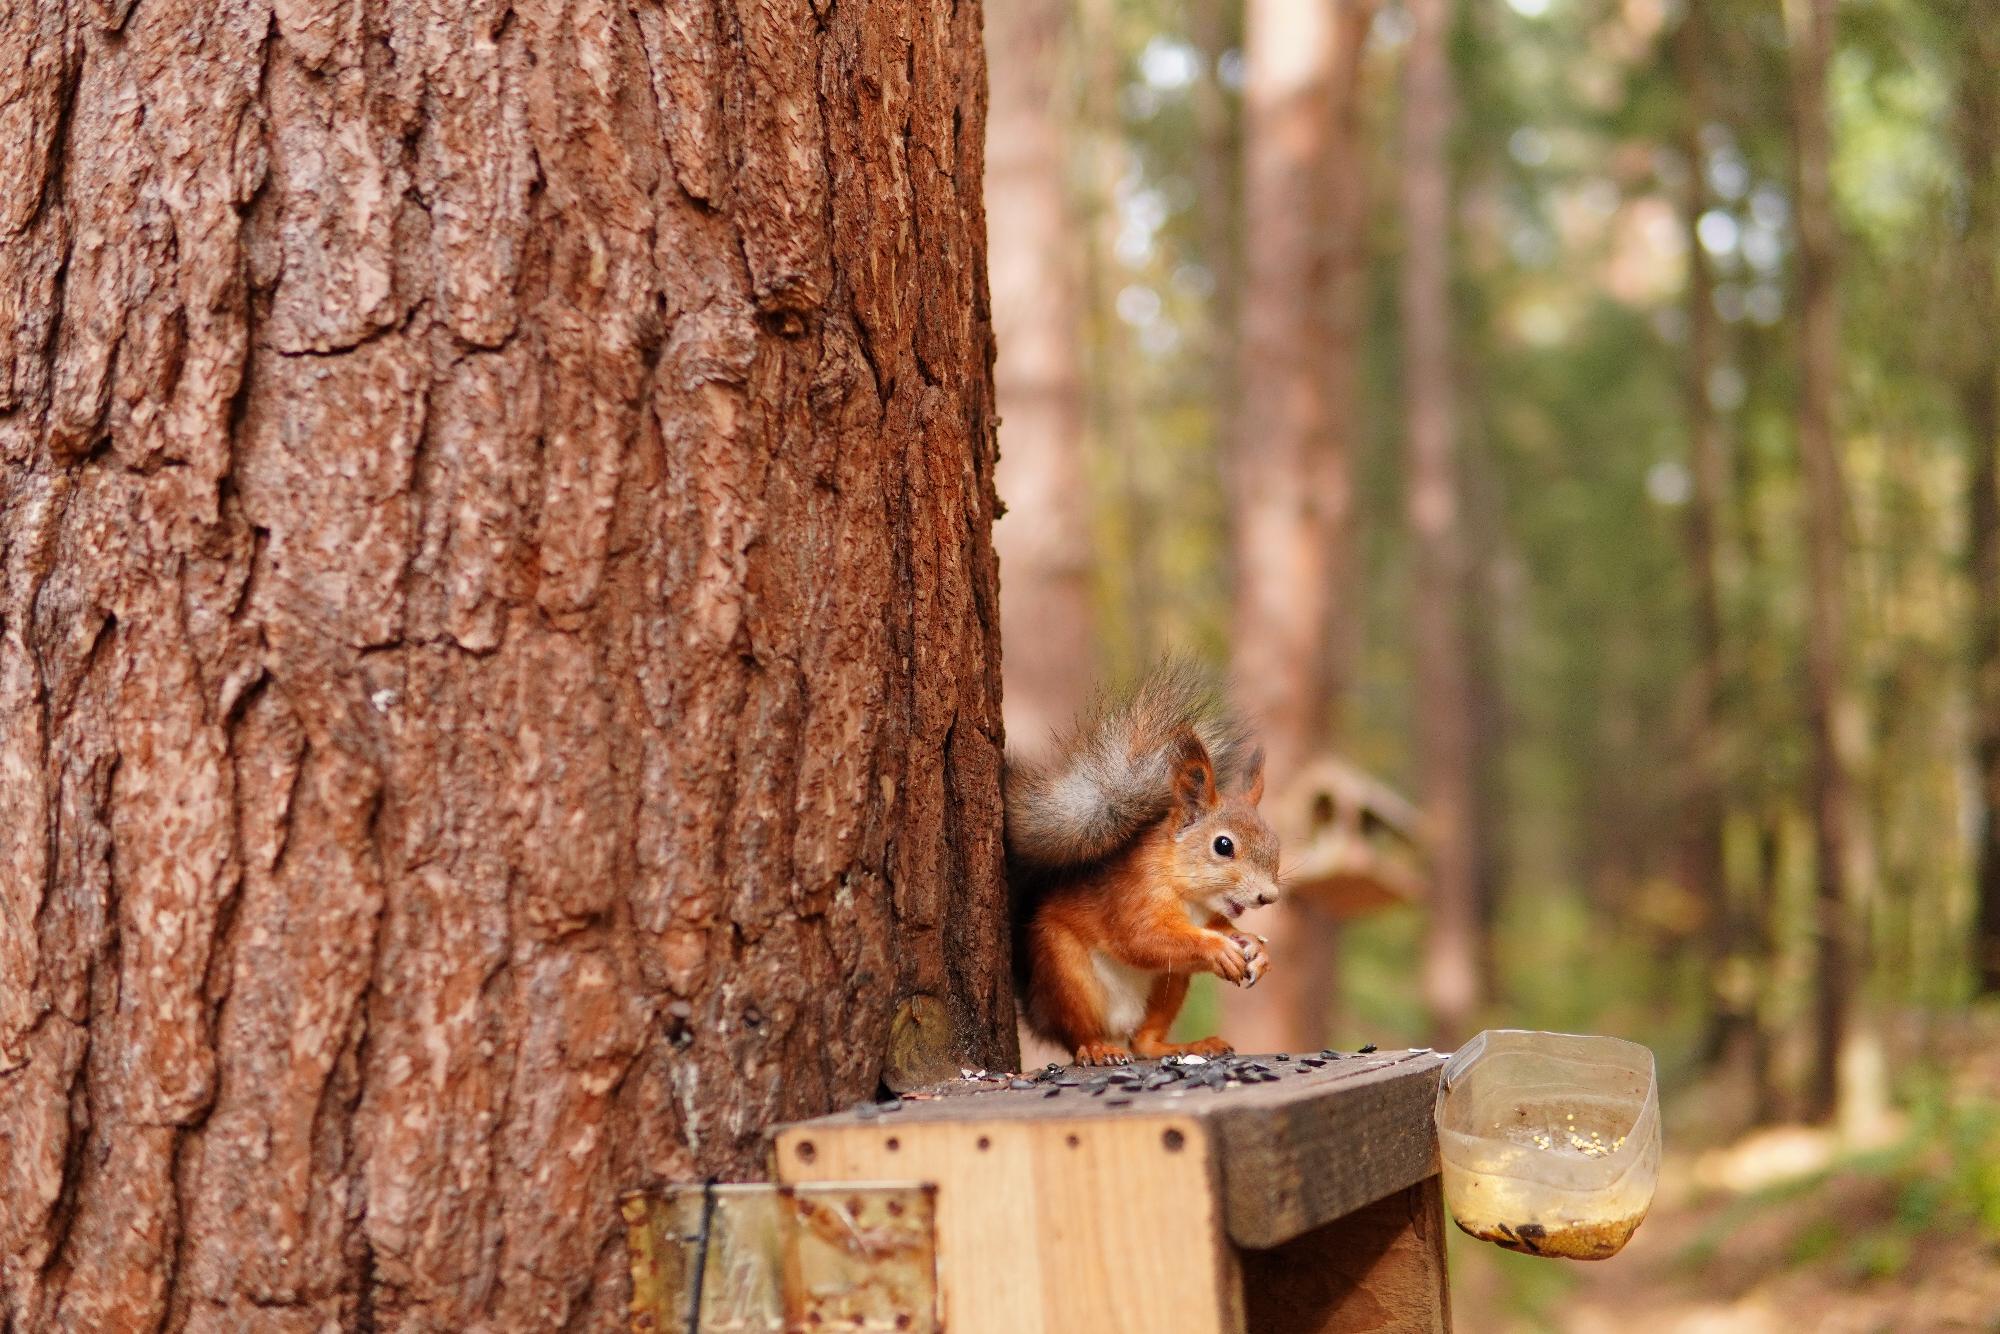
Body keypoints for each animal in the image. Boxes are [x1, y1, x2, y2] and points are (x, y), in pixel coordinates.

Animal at [1016, 664, 1280, 1064]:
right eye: (1223, 845)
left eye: (1276, 842)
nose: (1269, 897)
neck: (1190, 897)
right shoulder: (1135, 893)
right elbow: (1140, 939)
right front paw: (1217, 948)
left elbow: (1221, 927)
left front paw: (1253, 946)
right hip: (1066, 973)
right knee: (1078, 1033)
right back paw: (1097, 1048)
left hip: (1169, 983)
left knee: (1144, 1042)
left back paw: (1190, 1045)